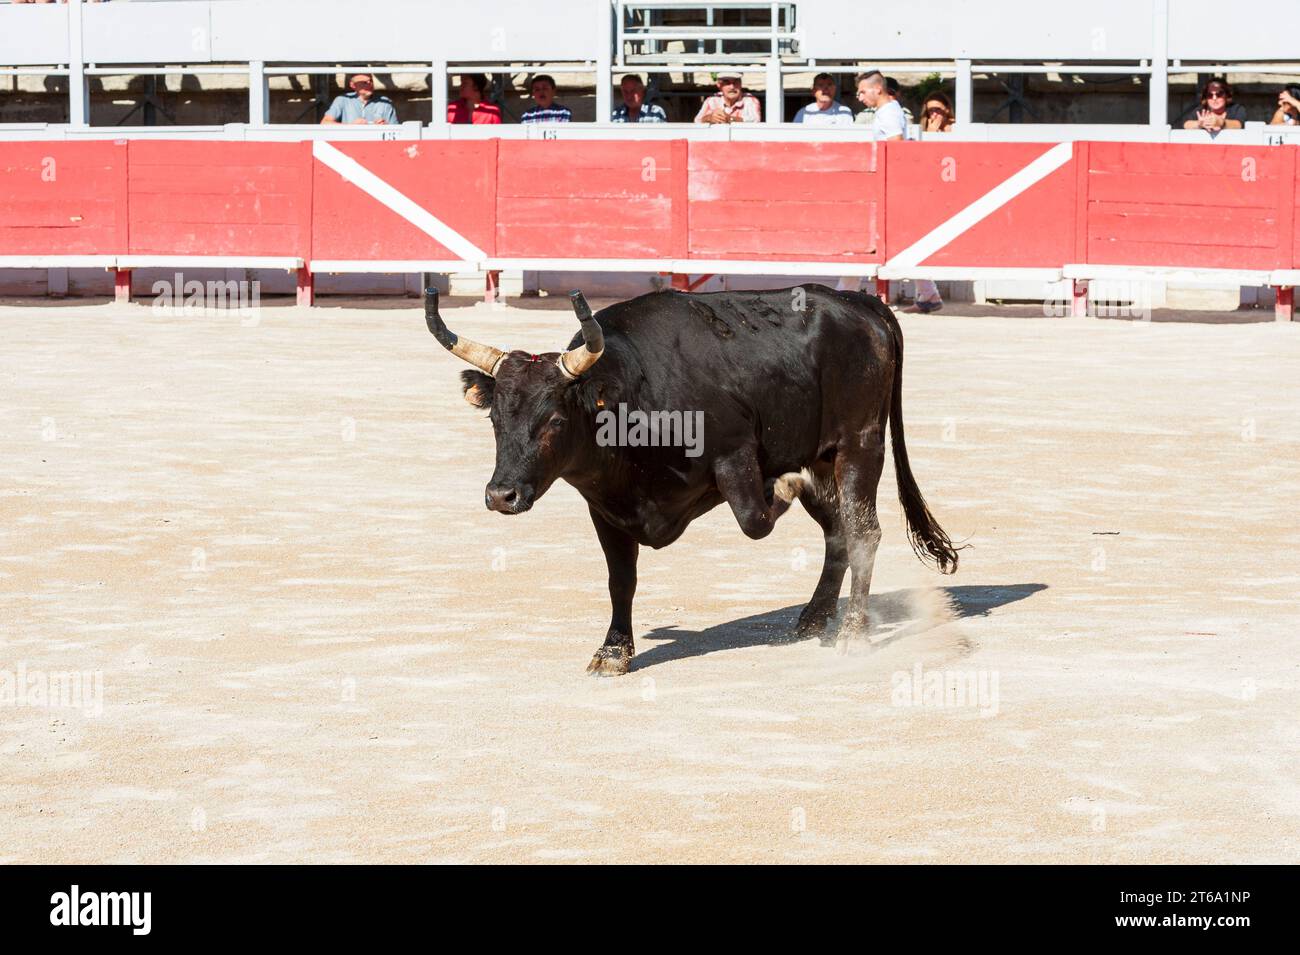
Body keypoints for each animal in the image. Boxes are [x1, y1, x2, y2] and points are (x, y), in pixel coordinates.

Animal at [424, 284, 959, 675]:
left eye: (555, 420)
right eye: (495, 418)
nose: (502, 495)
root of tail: (859, 302)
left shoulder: (735, 455)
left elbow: (754, 518)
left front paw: (783, 486)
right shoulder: (605, 507)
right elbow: (621, 578)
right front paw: (613, 651)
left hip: (859, 446)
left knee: (862, 532)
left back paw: (852, 633)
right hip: (824, 455)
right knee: (837, 531)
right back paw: (813, 619)